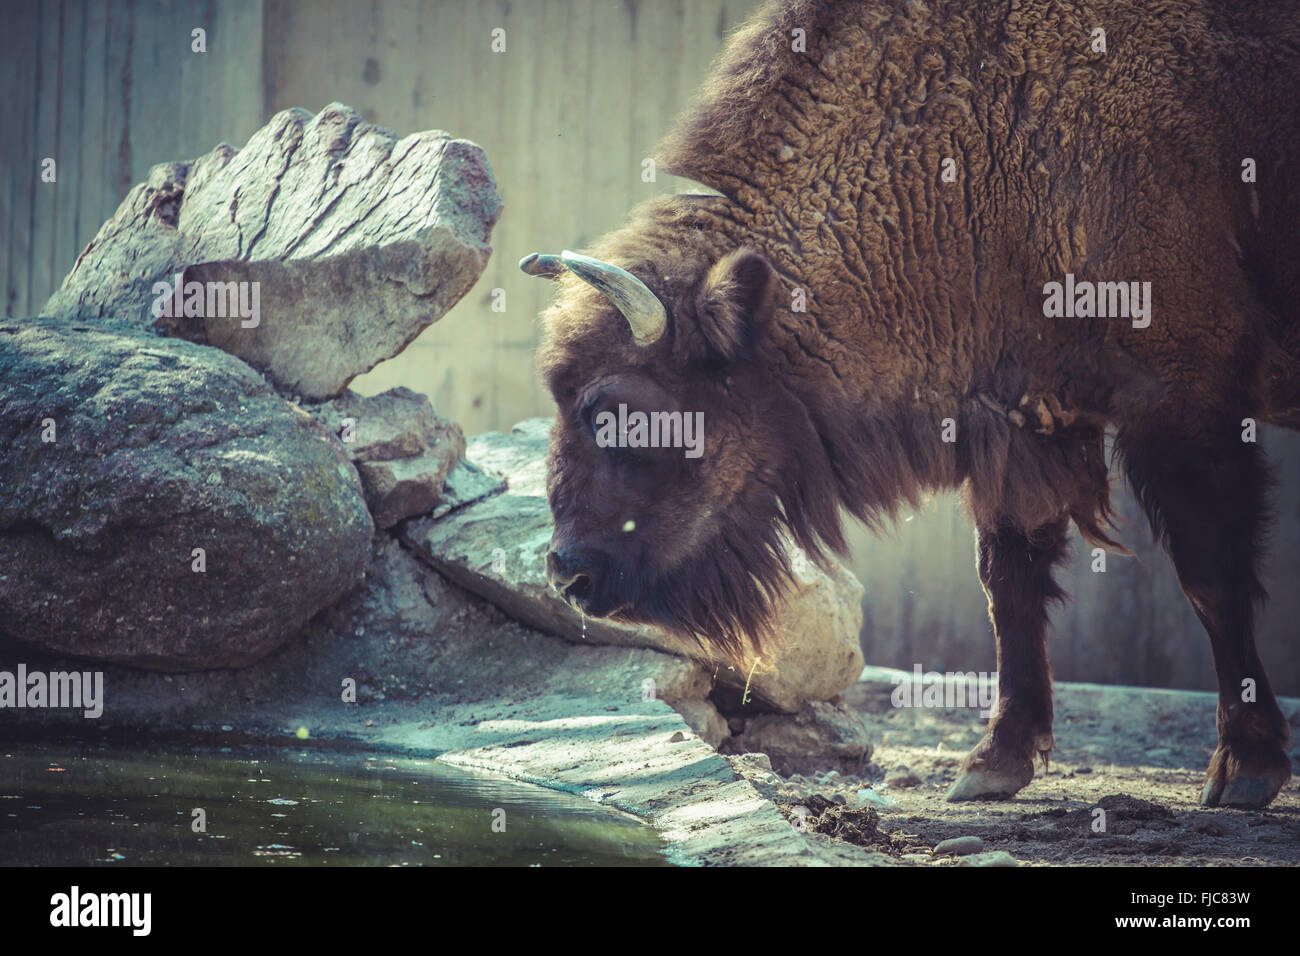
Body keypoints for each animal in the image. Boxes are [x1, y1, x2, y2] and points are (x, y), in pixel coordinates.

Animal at [521, 0, 1298, 808]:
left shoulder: (1184, 404)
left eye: (612, 408)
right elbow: (1009, 583)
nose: (568, 574)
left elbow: (1211, 575)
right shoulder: (1021, 432)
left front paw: (1245, 770)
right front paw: (991, 764)